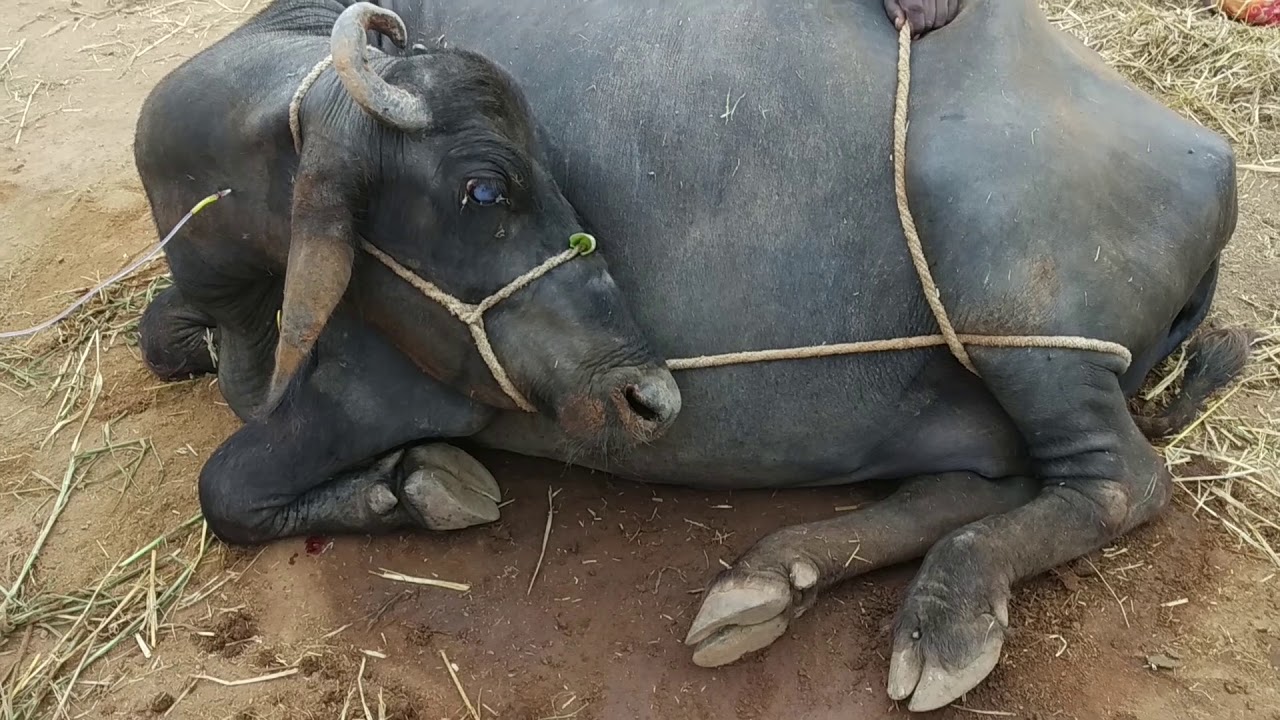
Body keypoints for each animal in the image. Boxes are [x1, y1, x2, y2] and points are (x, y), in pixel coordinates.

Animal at [133, 0, 1252, 711]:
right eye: (486, 188)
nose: (646, 396)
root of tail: (1208, 155)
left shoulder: (387, 389)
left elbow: (227, 488)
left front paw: (422, 486)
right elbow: (159, 338)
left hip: (1017, 319)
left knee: (1119, 481)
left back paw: (948, 618)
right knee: (980, 483)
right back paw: (773, 578)